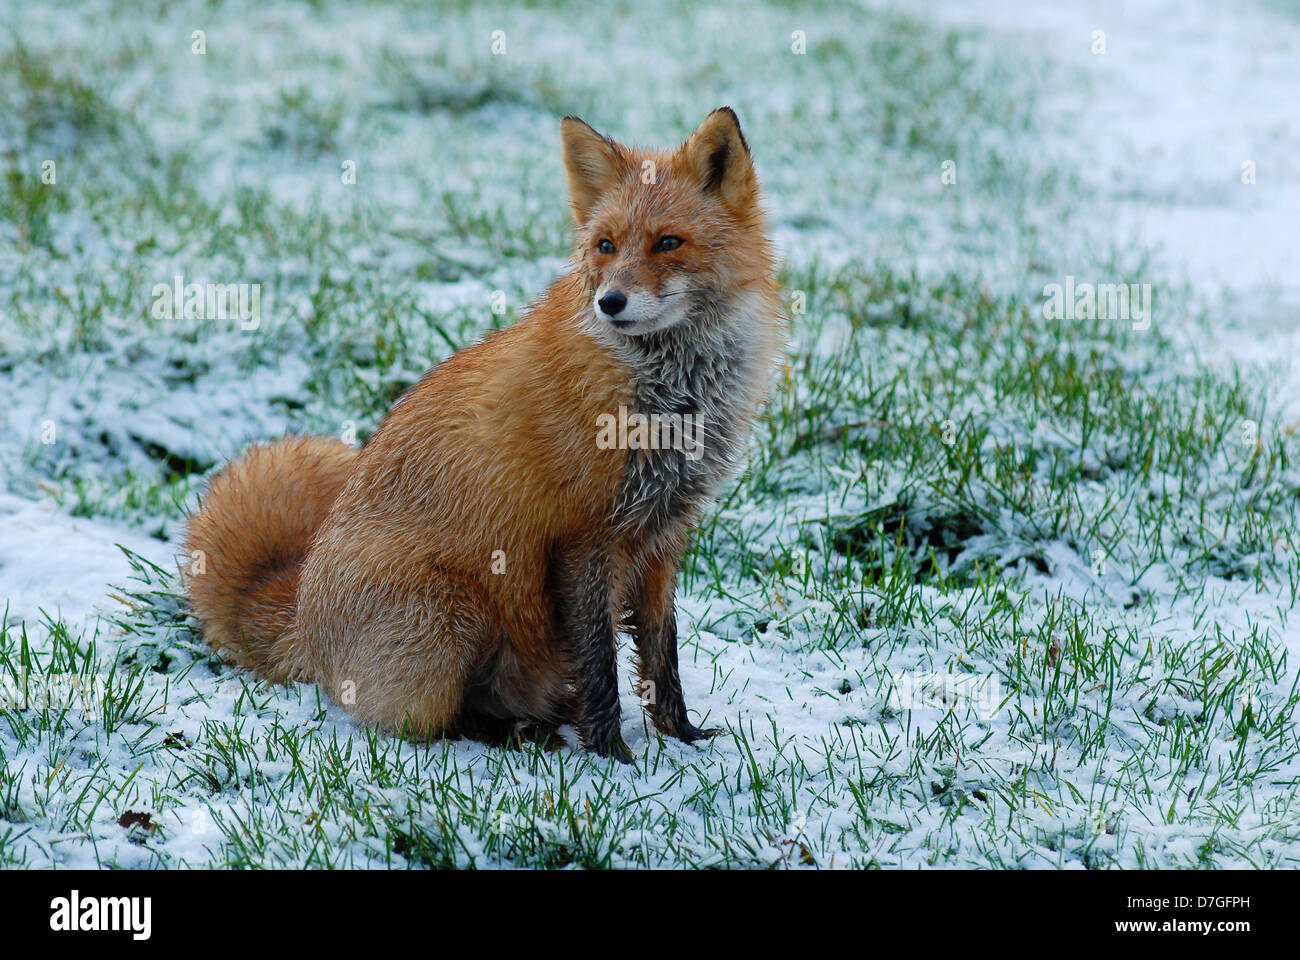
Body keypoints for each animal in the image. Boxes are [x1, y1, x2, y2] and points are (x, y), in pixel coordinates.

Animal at [183, 107, 786, 761]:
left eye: (668, 242)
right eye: (606, 246)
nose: (610, 302)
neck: (670, 397)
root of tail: (299, 613)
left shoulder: (662, 535)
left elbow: (661, 656)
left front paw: (685, 741)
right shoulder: (584, 538)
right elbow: (600, 665)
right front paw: (613, 757)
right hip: (455, 613)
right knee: (429, 724)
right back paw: (517, 737)